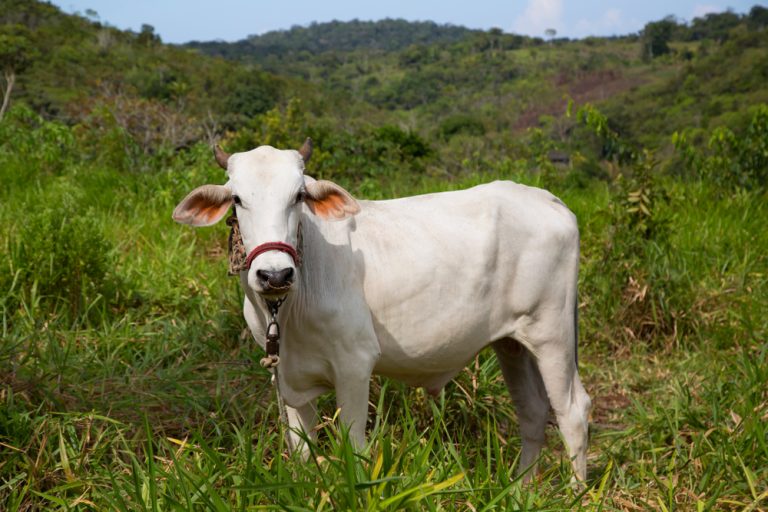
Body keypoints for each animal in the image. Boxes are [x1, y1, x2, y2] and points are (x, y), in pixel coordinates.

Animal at [172, 140, 592, 481]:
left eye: (298, 196)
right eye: (238, 199)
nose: (275, 274)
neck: (287, 310)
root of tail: (549, 200)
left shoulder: (355, 364)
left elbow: (354, 446)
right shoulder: (287, 377)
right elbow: (303, 452)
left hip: (552, 333)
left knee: (573, 412)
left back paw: (575, 494)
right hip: (512, 343)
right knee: (533, 412)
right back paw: (520, 490)